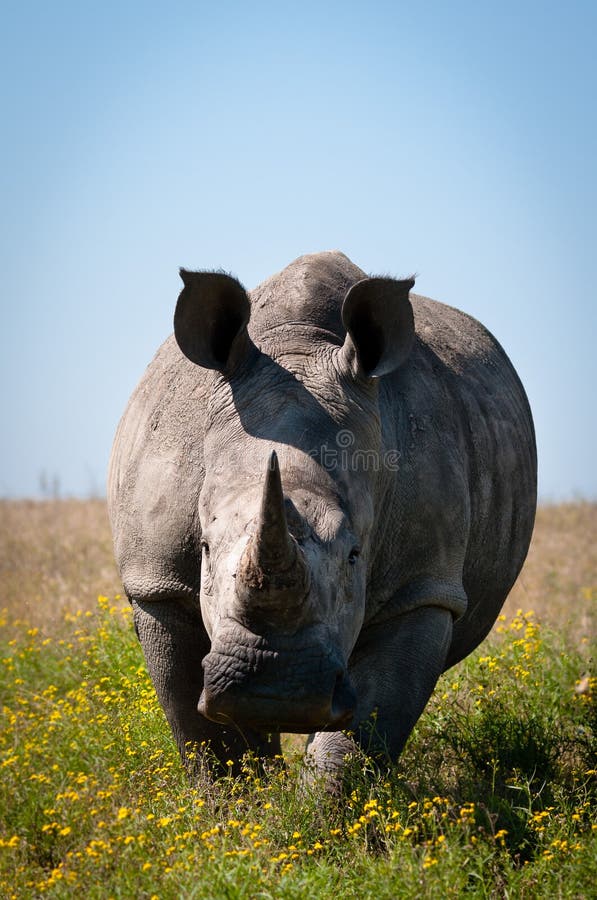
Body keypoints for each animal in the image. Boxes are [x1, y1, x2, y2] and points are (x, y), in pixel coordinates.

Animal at [108, 250, 537, 782]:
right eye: (204, 549)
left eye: (355, 555)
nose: (274, 686)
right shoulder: (157, 583)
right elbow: (204, 736)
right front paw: (238, 803)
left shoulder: (422, 590)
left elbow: (361, 736)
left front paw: (324, 805)